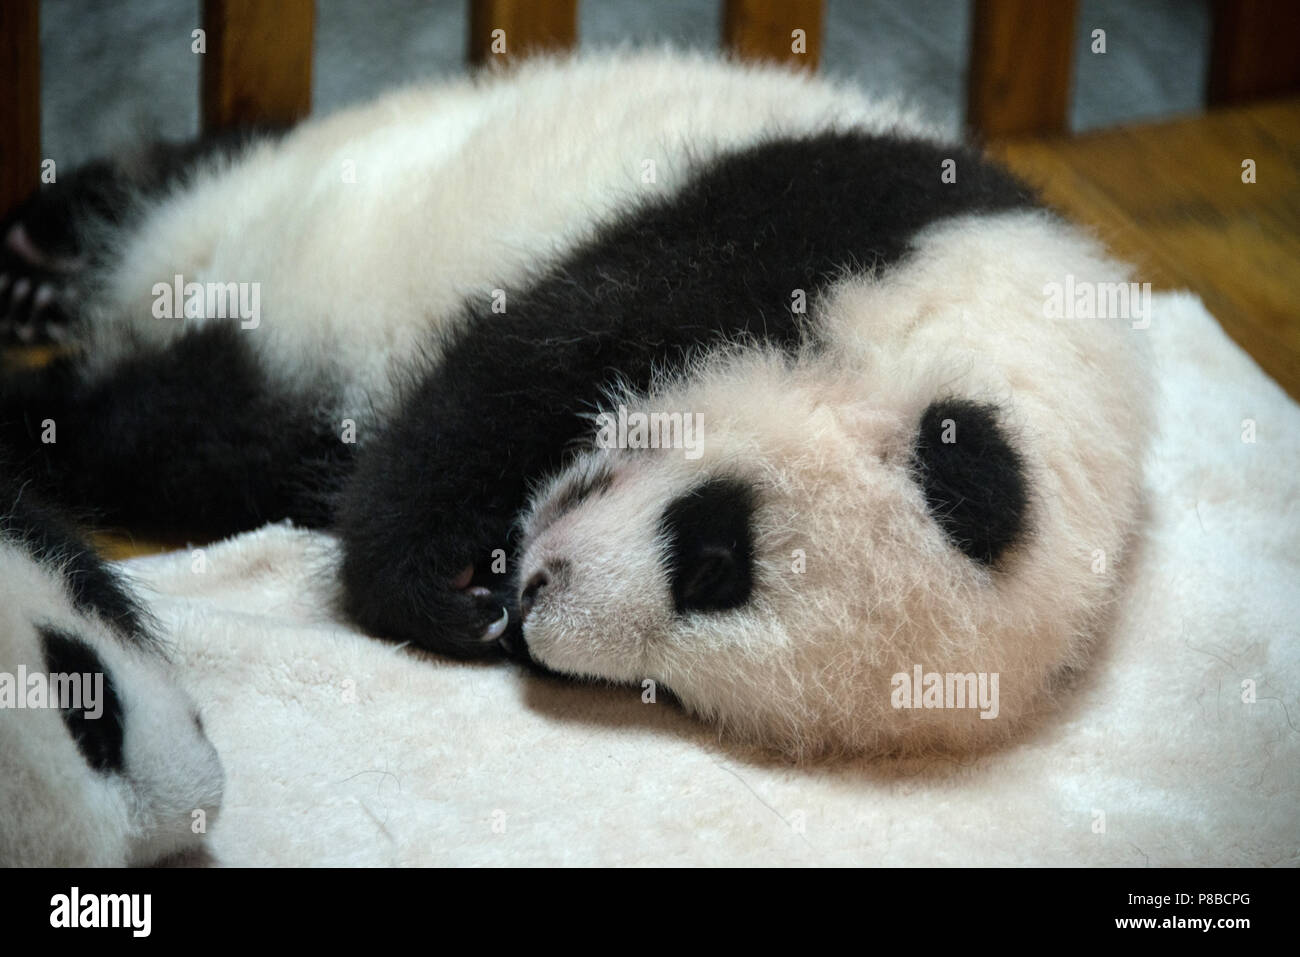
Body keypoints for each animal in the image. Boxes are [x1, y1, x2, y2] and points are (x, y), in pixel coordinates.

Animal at [0, 50, 1150, 758]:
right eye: (715, 559)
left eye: (676, 690)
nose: (531, 599)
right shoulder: (807, 215)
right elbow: (527, 362)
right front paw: (427, 586)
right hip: (316, 183)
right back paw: (36, 277)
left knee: (191, 431)